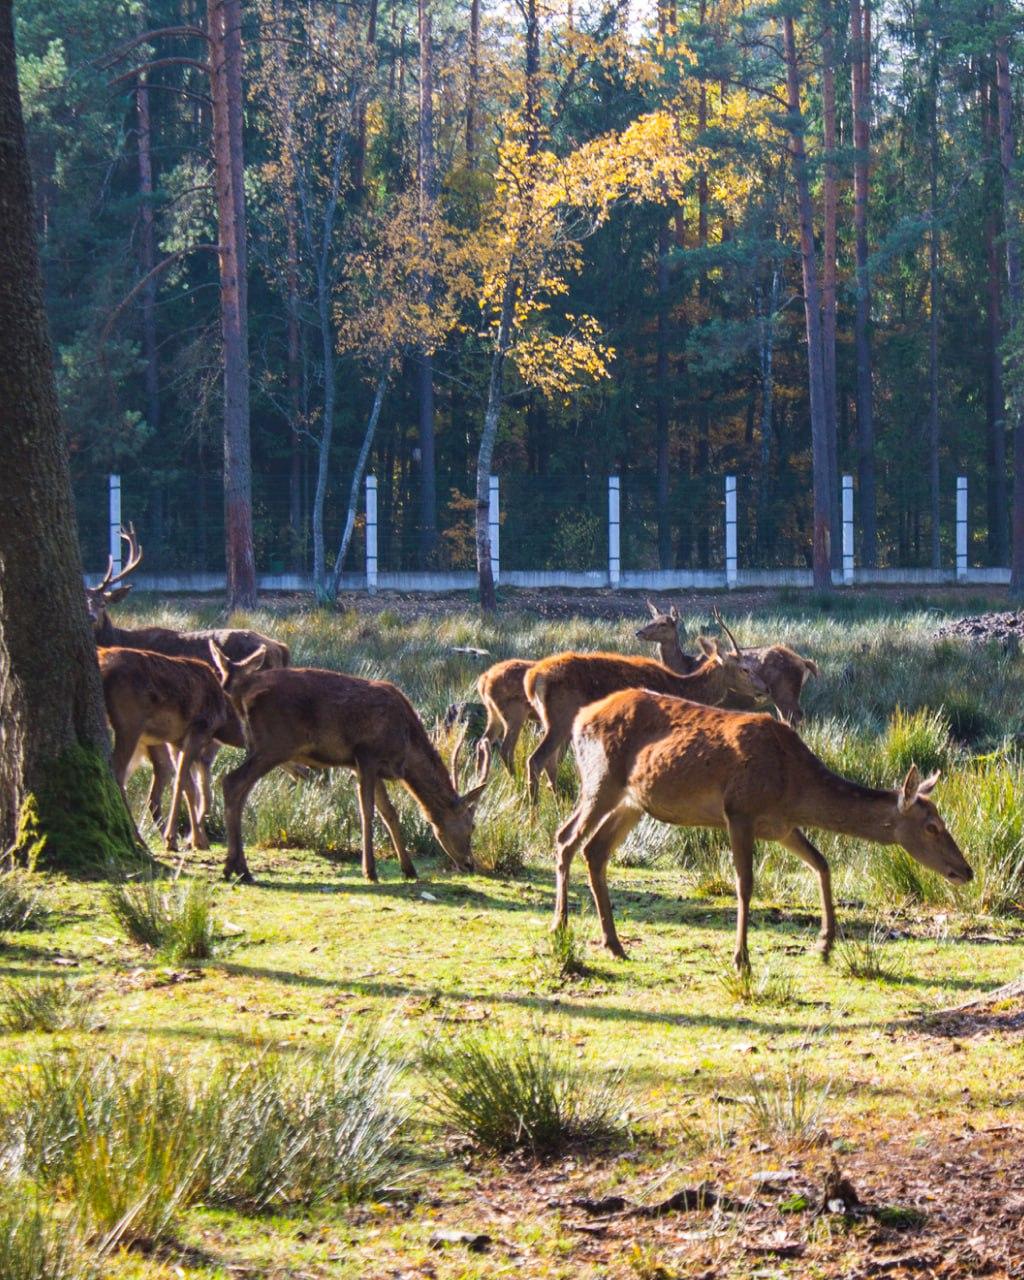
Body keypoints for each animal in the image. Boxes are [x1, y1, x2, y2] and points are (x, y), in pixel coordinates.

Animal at [208, 645, 488, 885]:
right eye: (471, 827)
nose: (469, 864)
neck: (406, 748)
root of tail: (242, 689)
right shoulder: (366, 754)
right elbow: (367, 811)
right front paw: (370, 871)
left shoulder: (370, 766)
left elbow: (390, 813)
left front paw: (409, 869)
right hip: (274, 743)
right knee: (232, 782)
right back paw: (239, 869)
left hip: (260, 745)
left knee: (238, 788)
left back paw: (235, 867)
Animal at [555, 691, 972, 967]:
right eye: (932, 826)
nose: (965, 871)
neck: (793, 787)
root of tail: (579, 718)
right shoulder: (739, 810)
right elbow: (745, 883)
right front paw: (741, 958)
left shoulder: (781, 826)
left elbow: (822, 863)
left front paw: (825, 944)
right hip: (600, 779)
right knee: (566, 838)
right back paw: (560, 927)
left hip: (633, 802)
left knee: (594, 850)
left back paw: (614, 944)